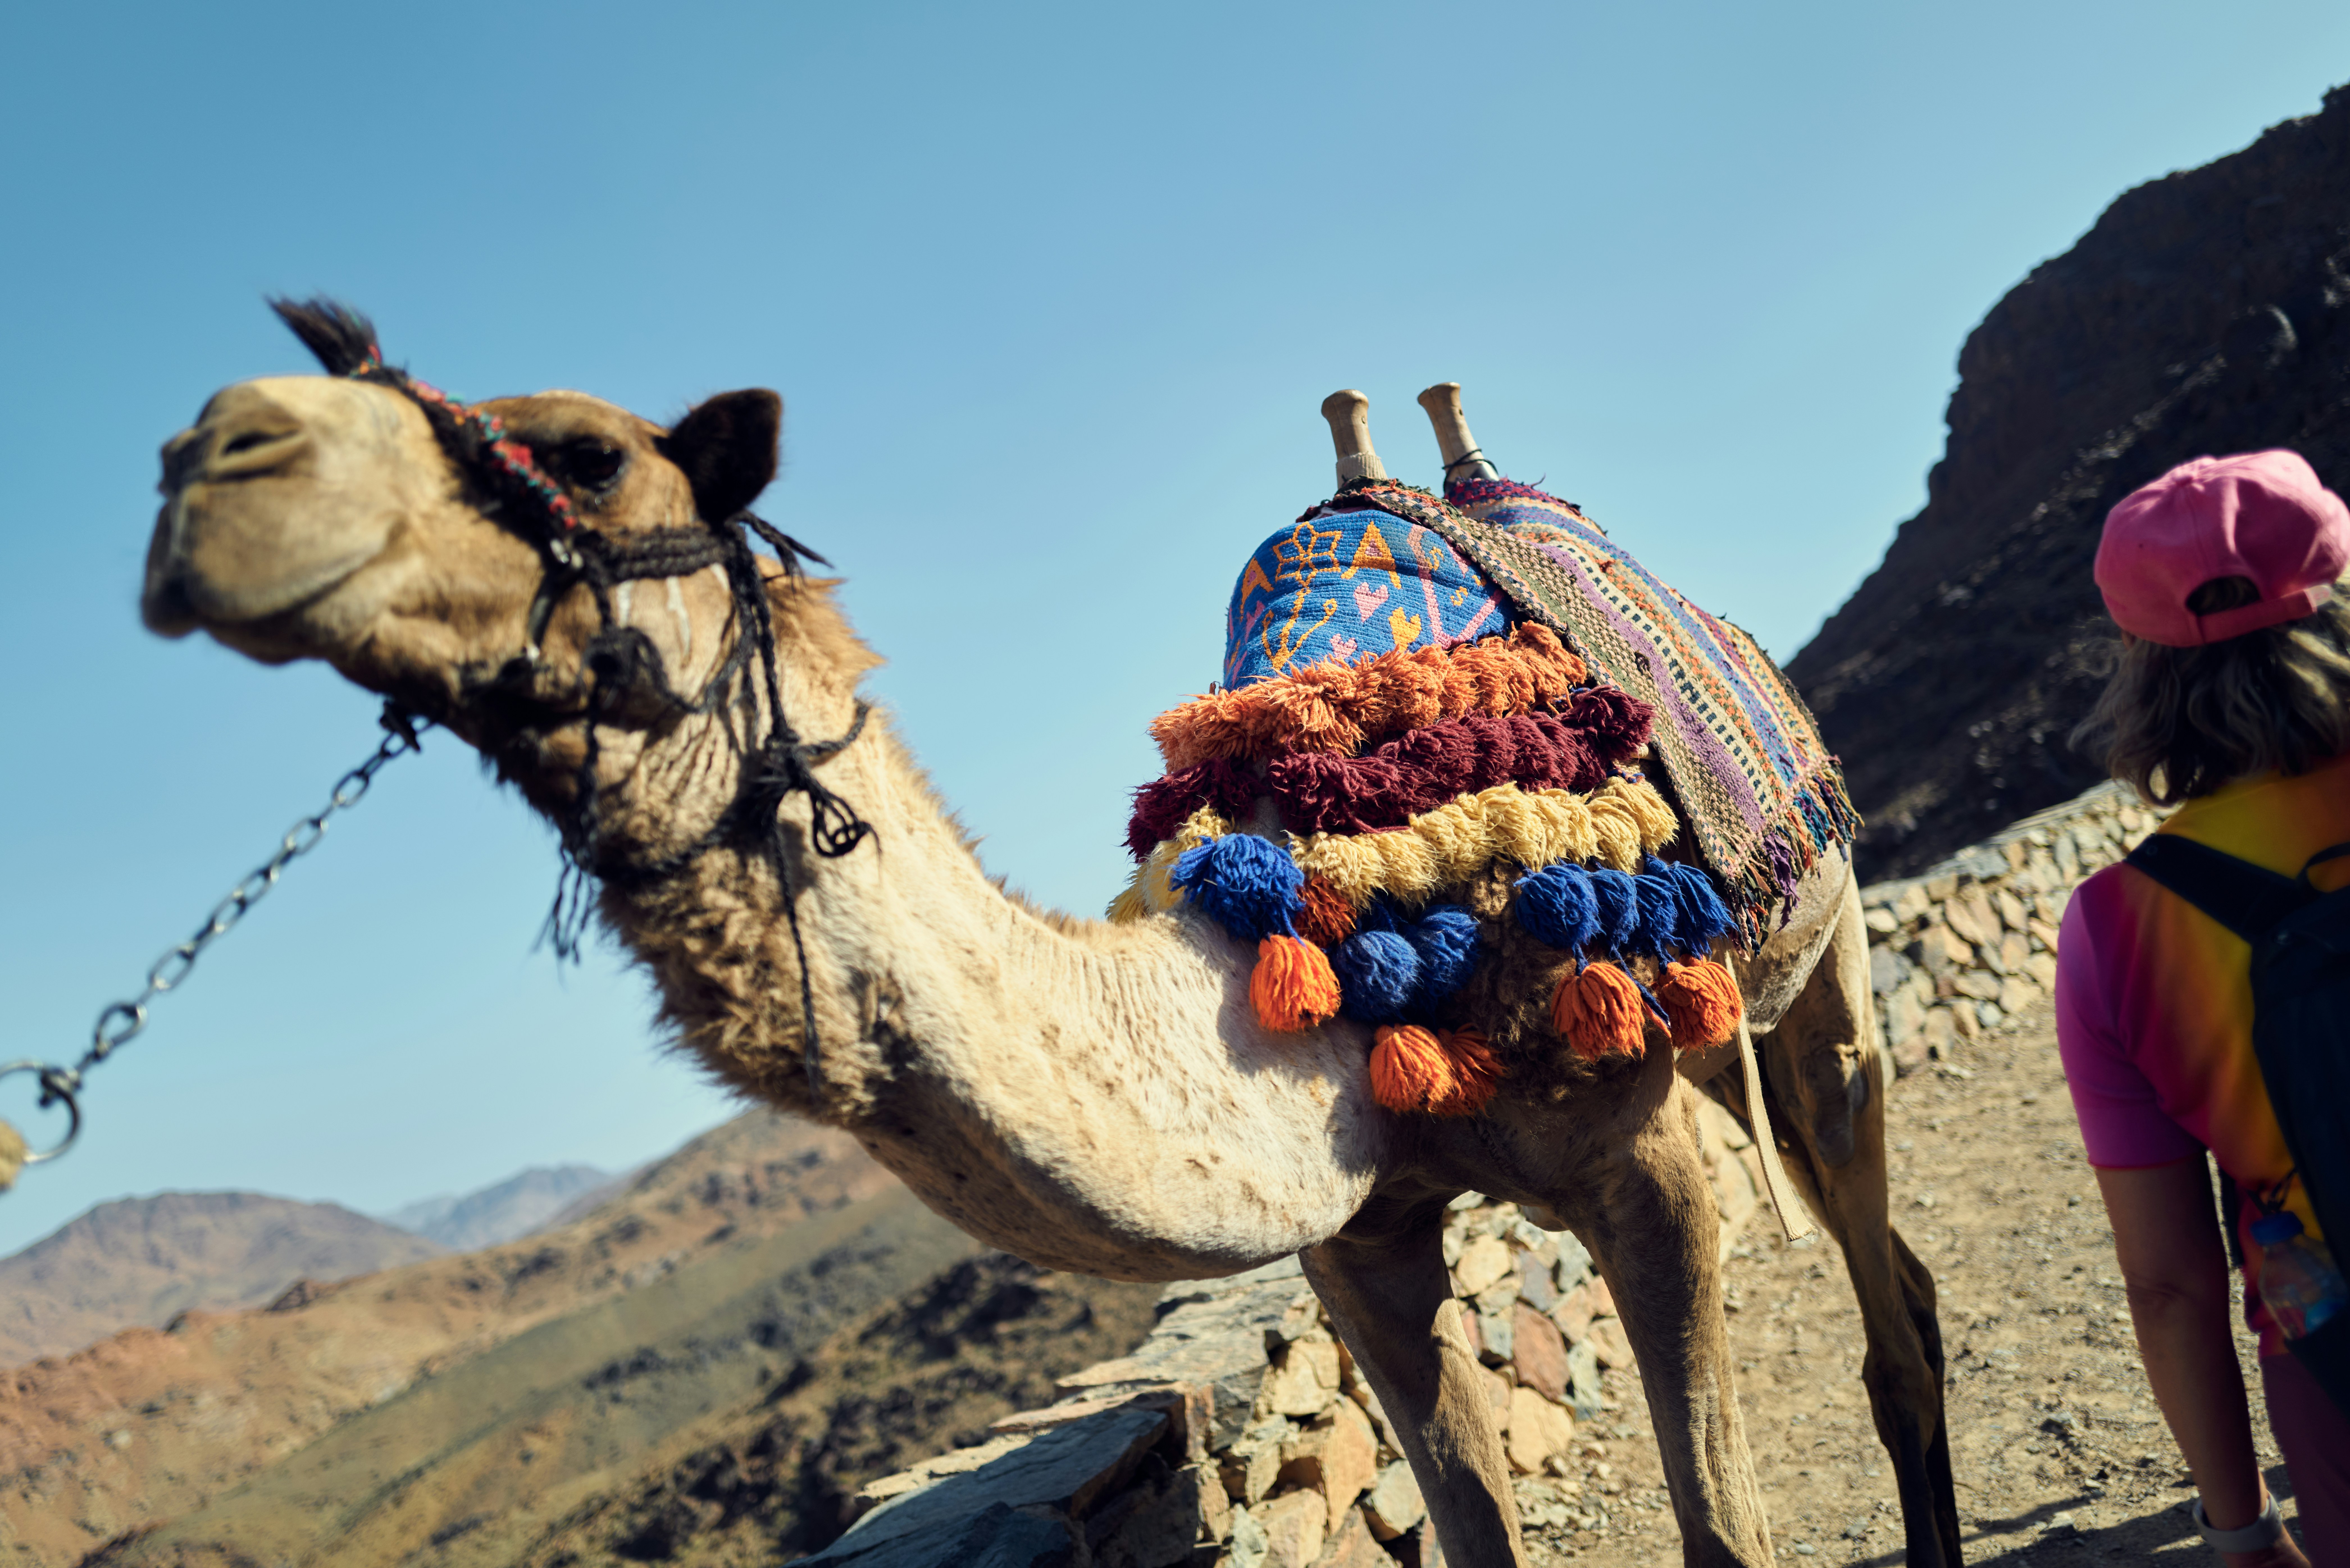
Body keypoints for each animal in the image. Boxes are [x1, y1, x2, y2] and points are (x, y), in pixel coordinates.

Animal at [137, 304, 1958, 1568]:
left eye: (584, 453)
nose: (211, 457)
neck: (1316, 939)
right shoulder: (1358, 1236)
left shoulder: (1639, 1165)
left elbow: (1721, 1527)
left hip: (1812, 977)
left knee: (1882, 1281)